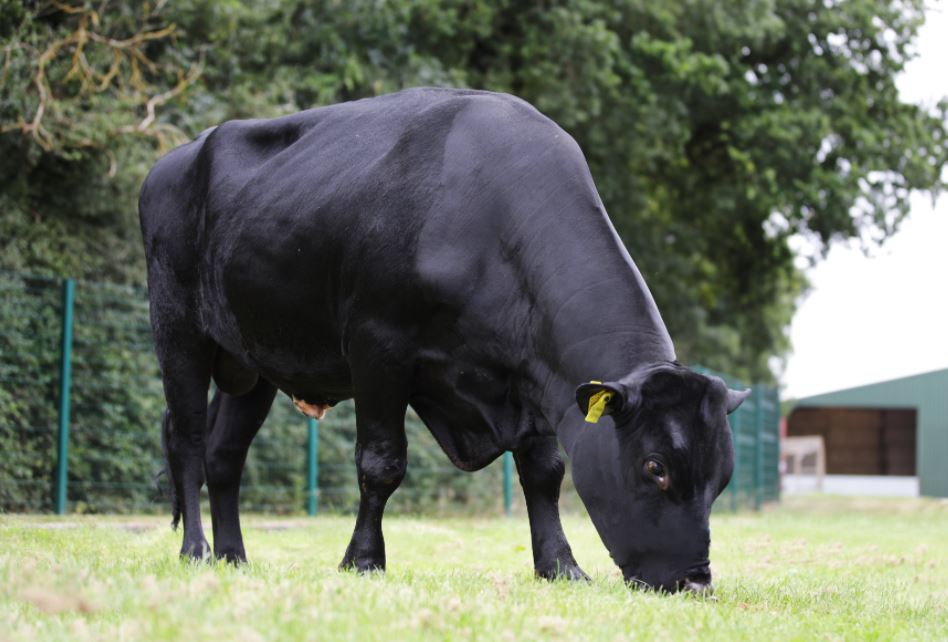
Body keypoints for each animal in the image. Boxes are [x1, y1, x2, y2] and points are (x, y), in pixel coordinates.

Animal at [139, 87, 748, 593]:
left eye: (722, 477)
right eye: (655, 467)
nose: (696, 582)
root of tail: (173, 159)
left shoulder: (530, 379)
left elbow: (544, 473)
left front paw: (560, 566)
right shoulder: (377, 347)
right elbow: (382, 463)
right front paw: (364, 560)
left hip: (254, 362)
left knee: (224, 454)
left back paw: (234, 557)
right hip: (178, 331)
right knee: (189, 442)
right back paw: (196, 551)